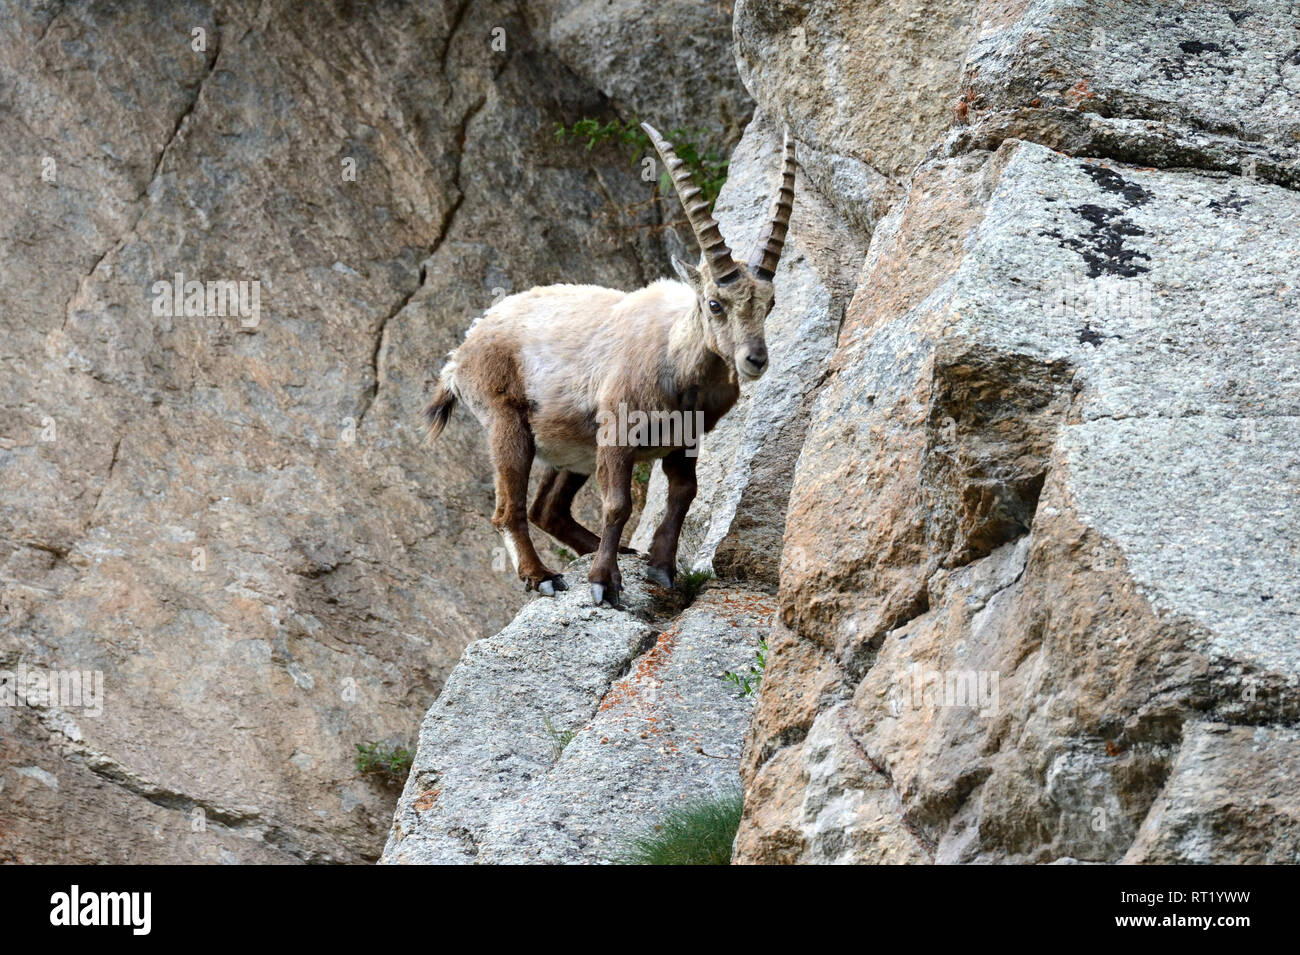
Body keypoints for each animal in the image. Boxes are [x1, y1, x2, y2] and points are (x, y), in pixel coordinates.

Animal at [425, 123, 796, 606]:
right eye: (715, 303)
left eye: (770, 304)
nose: (755, 359)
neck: (676, 360)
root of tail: (461, 354)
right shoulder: (618, 432)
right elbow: (618, 503)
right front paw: (604, 582)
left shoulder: (685, 439)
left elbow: (685, 493)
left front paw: (661, 568)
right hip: (507, 421)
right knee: (509, 509)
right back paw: (543, 576)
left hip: (571, 446)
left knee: (548, 508)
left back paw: (617, 550)